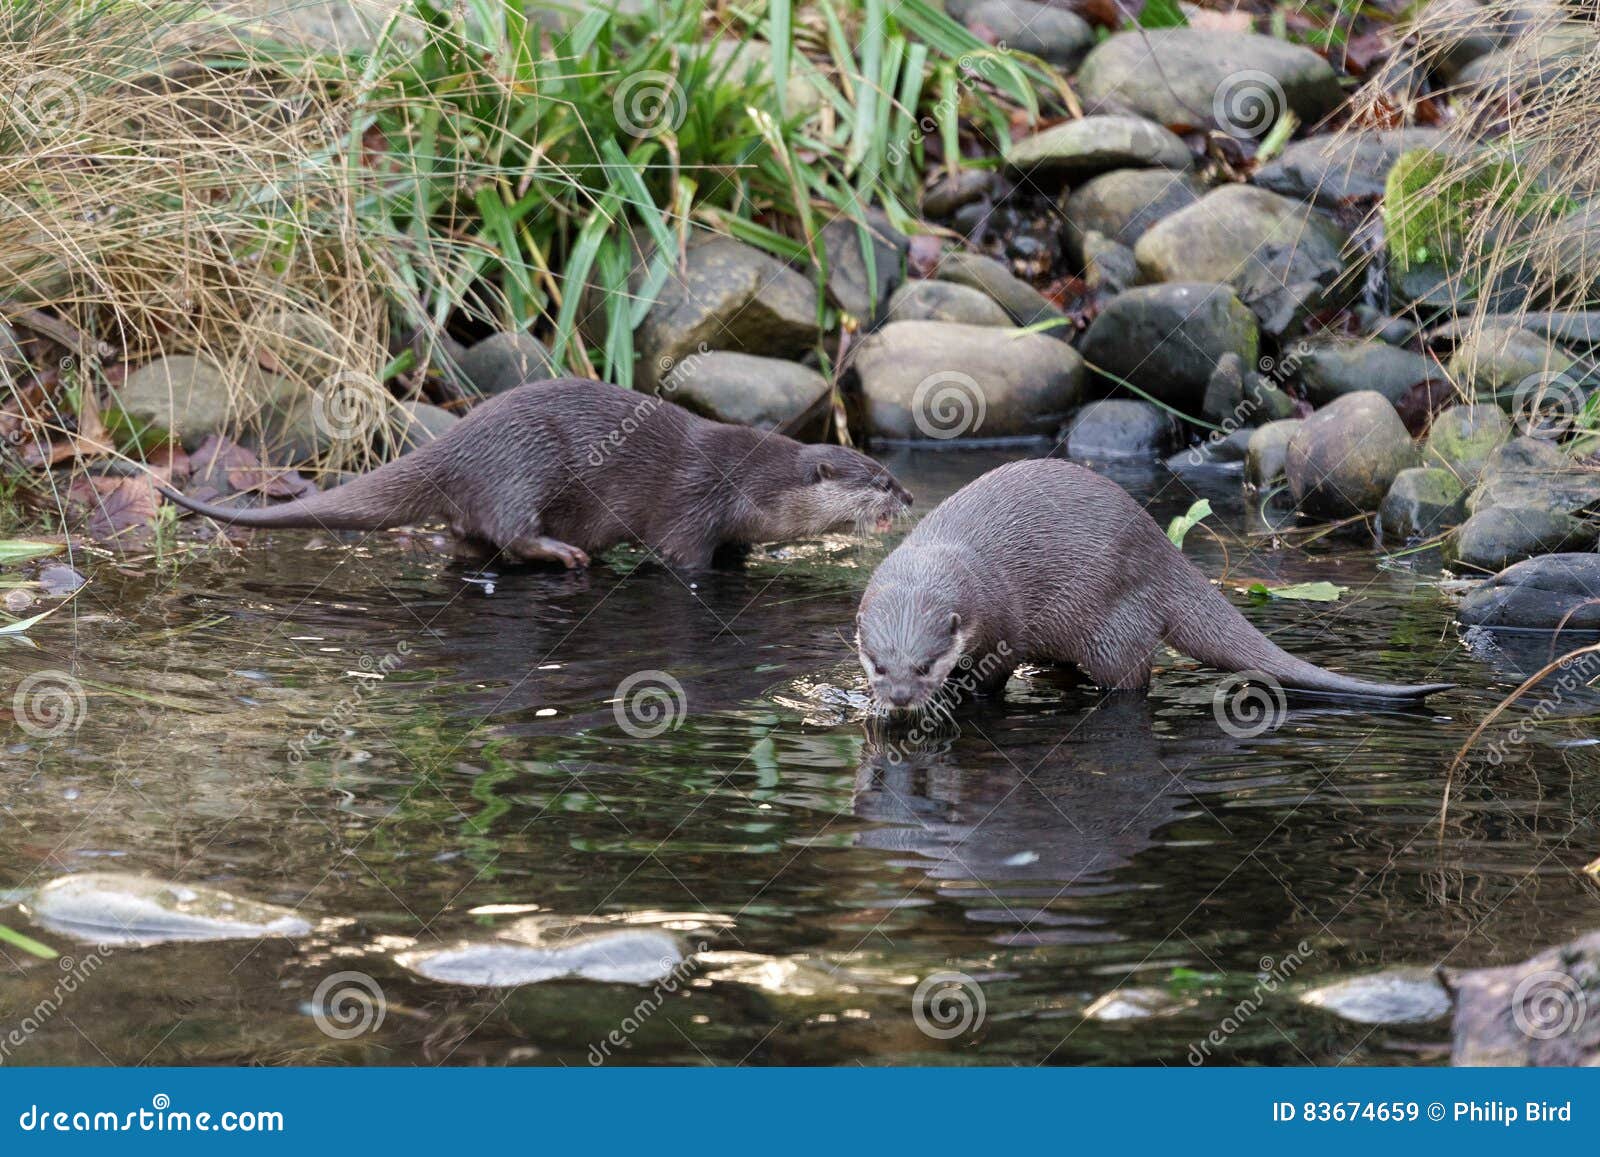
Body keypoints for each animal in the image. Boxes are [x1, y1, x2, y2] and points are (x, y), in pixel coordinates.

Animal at [161, 378, 912, 568]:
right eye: (877, 478)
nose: (906, 494)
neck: (747, 481)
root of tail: (456, 442)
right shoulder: (691, 508)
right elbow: (681, 558)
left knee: (468, 538)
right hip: (521, 464)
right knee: (511, 530)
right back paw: (564, 553)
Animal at [855, 459, 1452, 707]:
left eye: (925, 665)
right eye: (878, 665)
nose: (901, 698)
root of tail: (1163, 555)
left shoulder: (1003, 623)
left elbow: (992, 677)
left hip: (1111, 626)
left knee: (1132, 680)